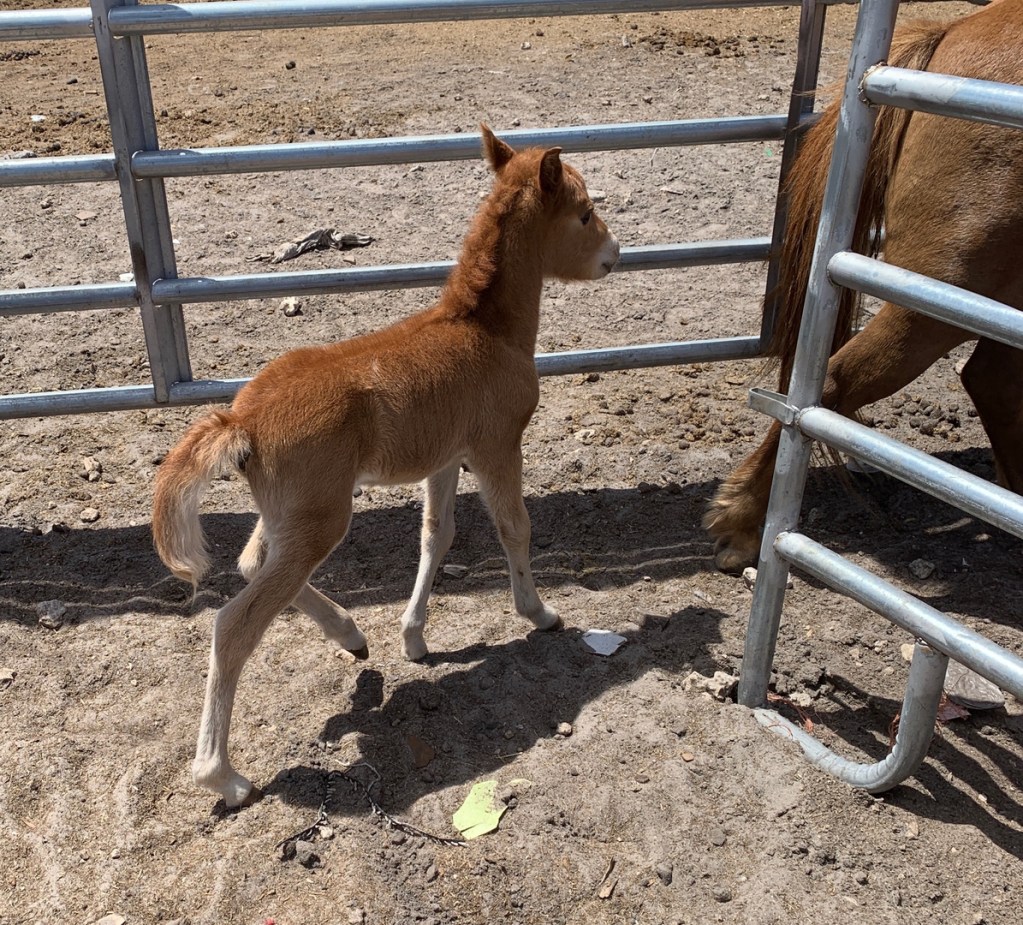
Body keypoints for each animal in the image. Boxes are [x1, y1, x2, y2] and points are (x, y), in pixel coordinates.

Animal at [152, 125, 620, 807]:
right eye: (584, 213)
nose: (615, 252)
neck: (486, 328)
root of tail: (240, 419)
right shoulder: (497, 446)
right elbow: (515, 528)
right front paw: (540, 614)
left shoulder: (447, 457)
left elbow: (436, 536)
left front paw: (414, 638)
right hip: (320, 519)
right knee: (234, 625)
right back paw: (223, 775)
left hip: (289, 514)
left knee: (251, 562)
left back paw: (351, 634)